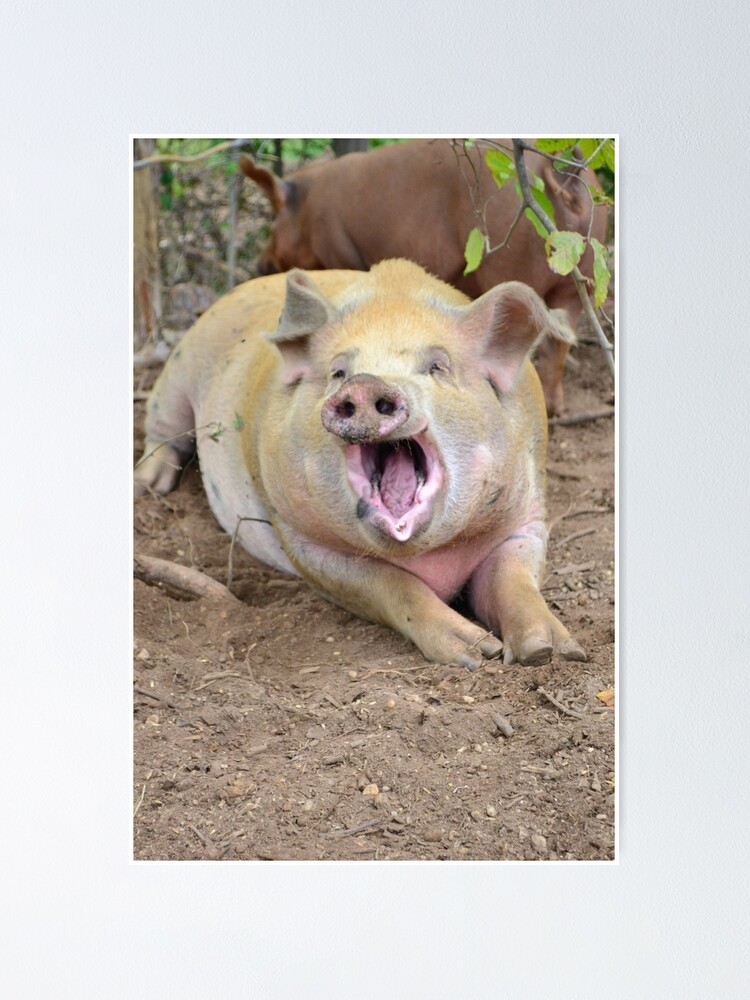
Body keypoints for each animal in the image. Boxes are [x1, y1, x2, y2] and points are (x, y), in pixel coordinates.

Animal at [134, 260, 586, 669]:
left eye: (437, 366)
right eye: (338, 371)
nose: (366, 384)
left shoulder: (527, 519)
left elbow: (514, 580)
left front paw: (553, 652)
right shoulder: (304, 544)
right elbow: (394, 586)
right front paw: (476, 653)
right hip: (178, 371)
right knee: (161, 429)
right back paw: (149, 484)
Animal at [239, 138, 608, 415]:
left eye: (274, 223)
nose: (258, 264)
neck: (305, 213)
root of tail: (562, 176)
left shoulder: (338, 252)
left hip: (509, 262)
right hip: (579, 278)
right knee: (560, 343)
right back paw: (553, 409)